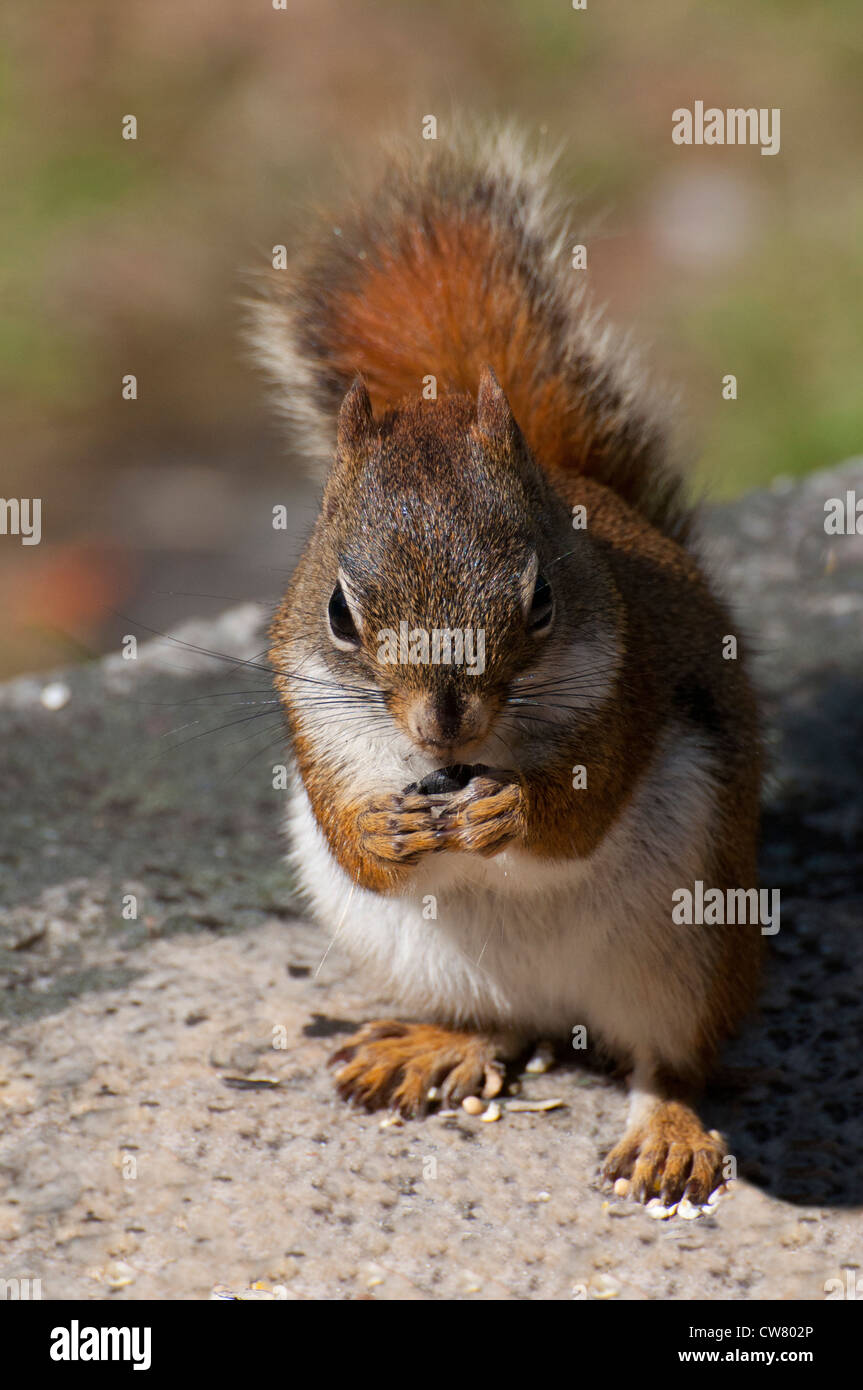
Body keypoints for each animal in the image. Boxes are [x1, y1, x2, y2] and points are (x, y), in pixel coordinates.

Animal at [249, 128, 762, 1205]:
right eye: (338, 612)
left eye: (539, 602)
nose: (443, 725)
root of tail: (561, 1003)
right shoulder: (310, 718)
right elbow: (348, 834)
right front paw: (384, 827)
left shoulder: (629, 688)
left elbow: (579, 814)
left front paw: (511, 810)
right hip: (412, 953)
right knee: (498, 1024)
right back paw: (435, 1043)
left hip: (690, 948)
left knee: (669, 1059)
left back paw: (667, 1131)